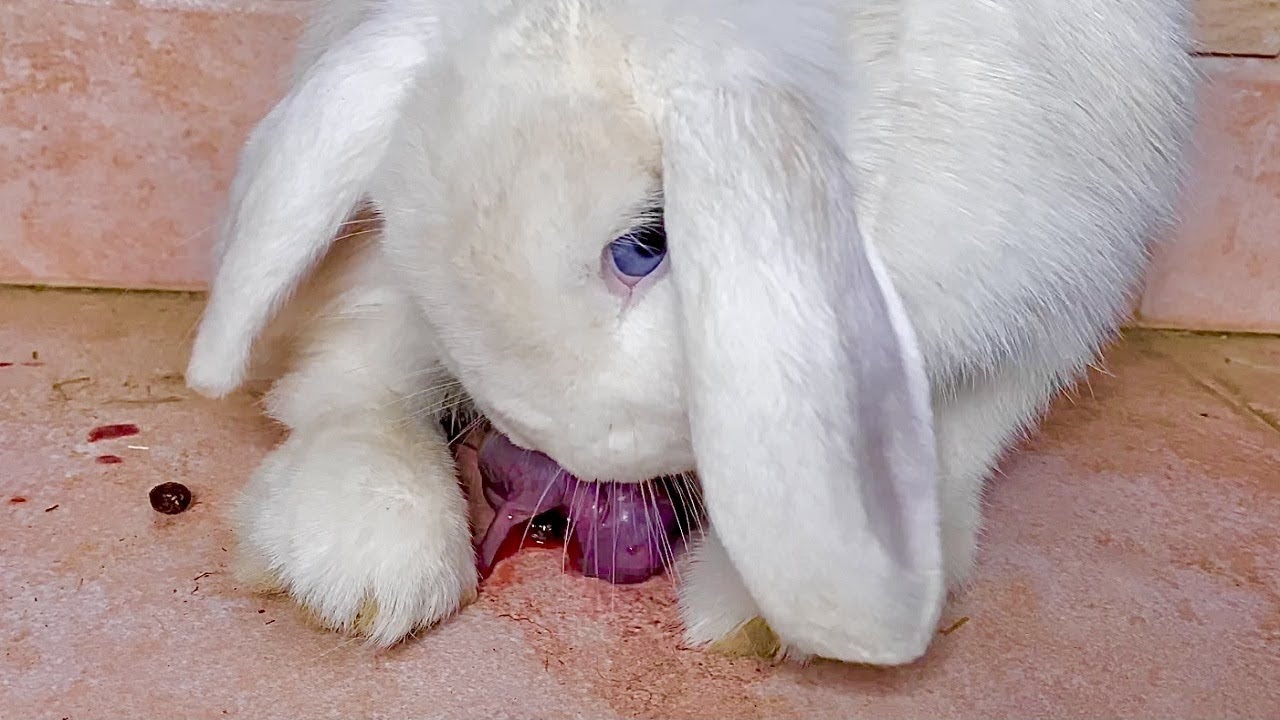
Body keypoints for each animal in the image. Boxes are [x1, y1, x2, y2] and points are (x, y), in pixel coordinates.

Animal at [186, 0, 1197, 664]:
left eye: (647, 243)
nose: (524, 455)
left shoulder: (1039, 308)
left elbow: (944, 447)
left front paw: (757, 607)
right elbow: (358, 370)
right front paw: (355, 555)